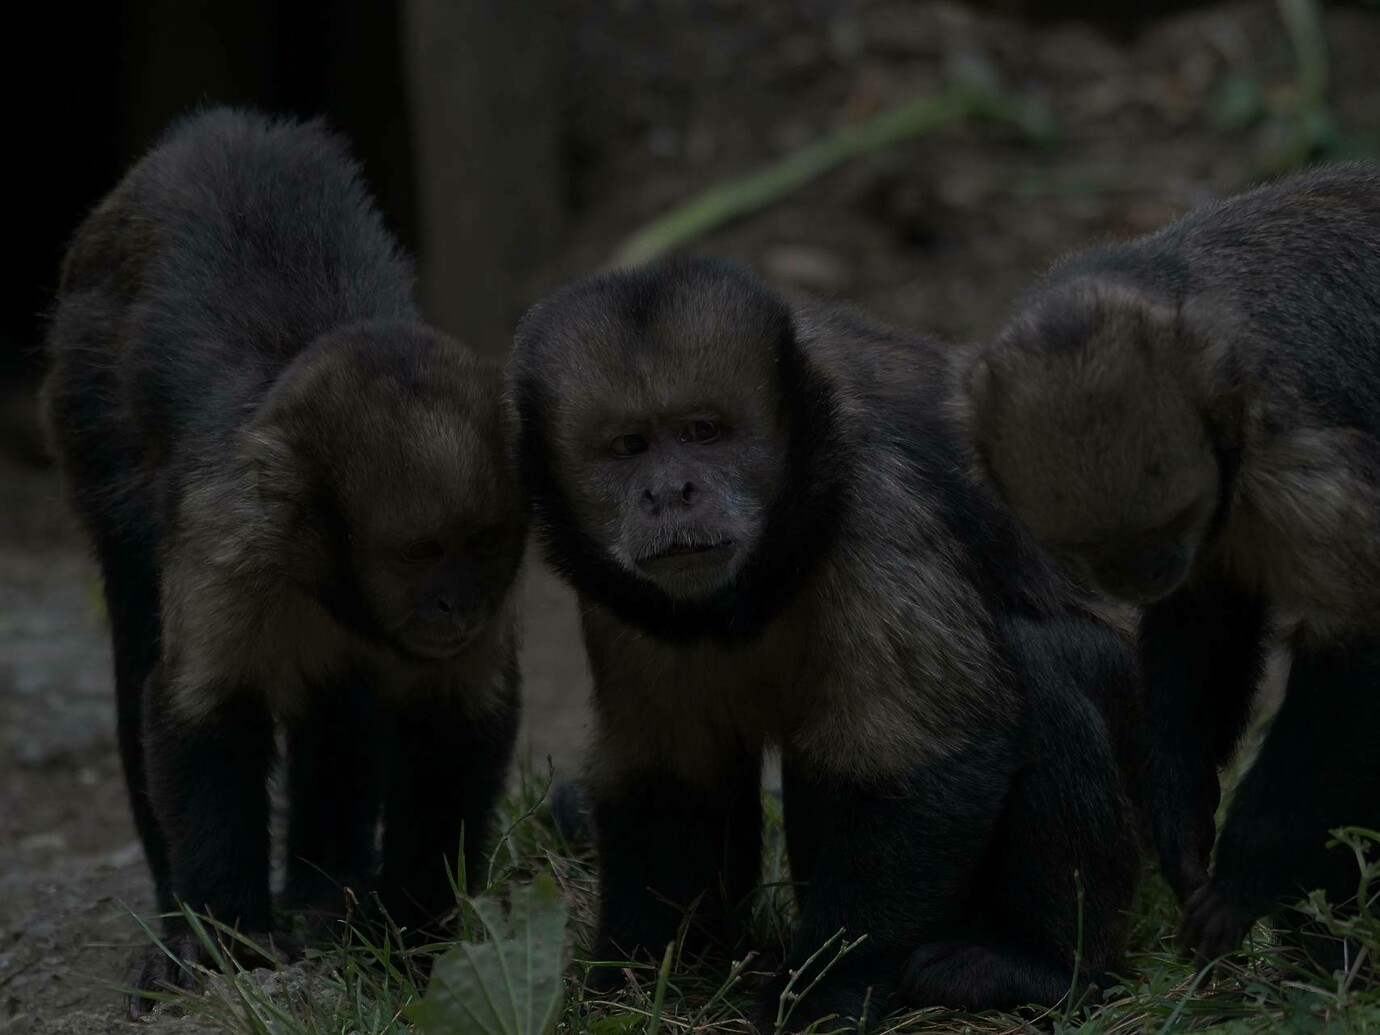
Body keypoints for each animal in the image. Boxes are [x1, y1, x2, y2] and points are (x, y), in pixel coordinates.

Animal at [41, 109, 527, 1015]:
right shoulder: (228, 533)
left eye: (480, 543)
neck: (326, 575)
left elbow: (457, 716)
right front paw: (226, 938)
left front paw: (410, 930)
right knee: (138, 628)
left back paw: (325, 888)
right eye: (418, 553)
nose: (459, 603)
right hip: (82, 380)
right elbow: (199, 713)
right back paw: (183, 913)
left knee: (342, 695)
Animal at [507, 257, 1141, 1028]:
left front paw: (816, 995)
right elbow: (670, 778)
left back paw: (1042, 966)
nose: (671, 492)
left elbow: (930, 768)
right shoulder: (621, 596)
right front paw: (631, 977)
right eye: (630, 446)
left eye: (703, 431)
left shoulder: (880, 499)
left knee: (1043, 672)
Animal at [962, 162, 1380, 965]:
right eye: (1088, 549)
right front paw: (1181, 827)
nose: (1145, 572)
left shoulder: (1299, 456)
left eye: (1173, 520)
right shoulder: (1225, 522)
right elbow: (1205, 622)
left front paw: (1246, 877)